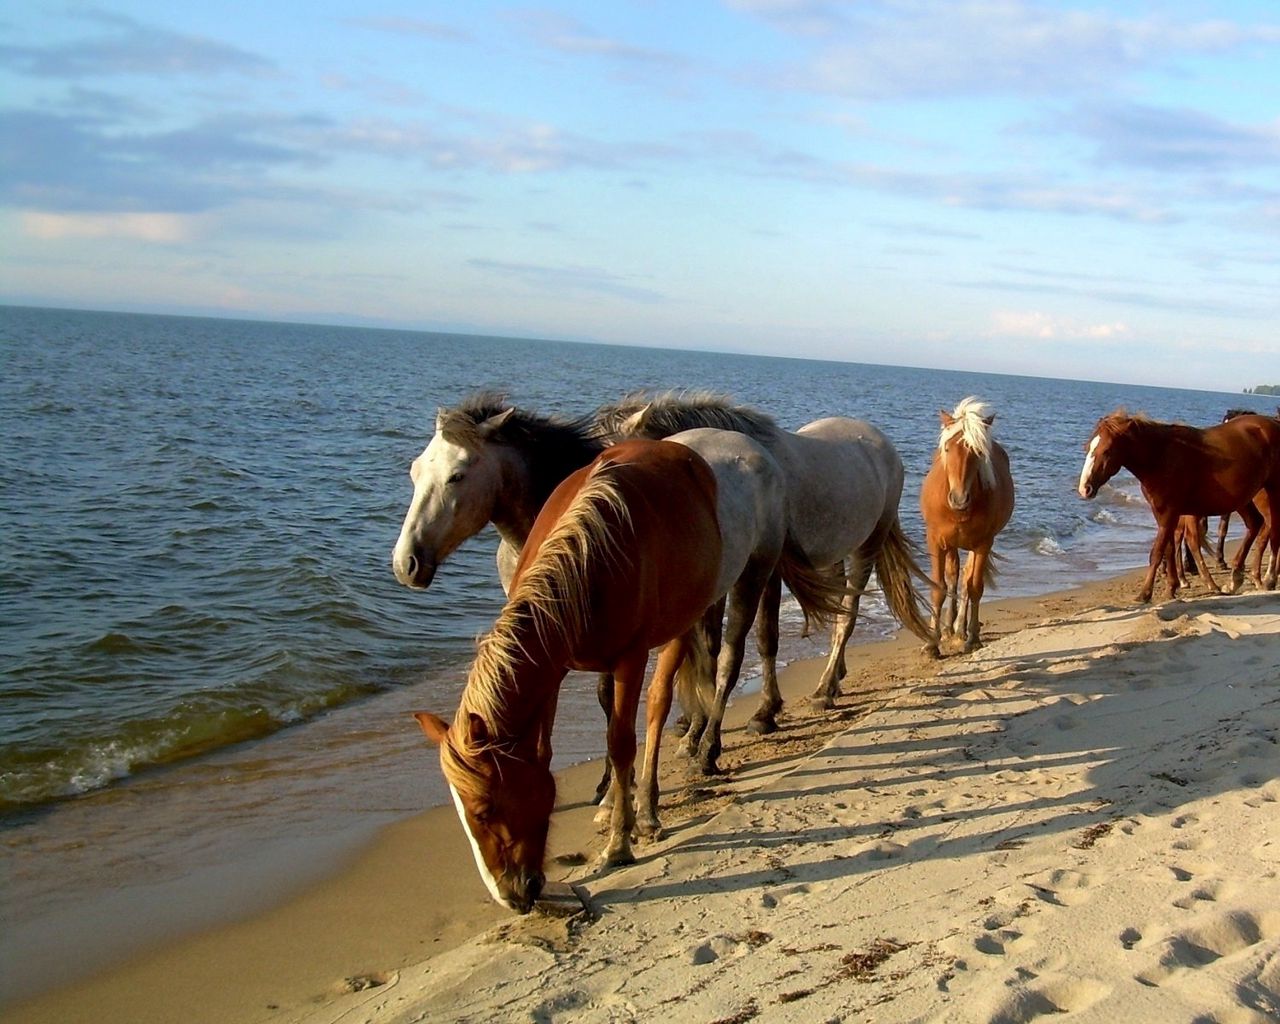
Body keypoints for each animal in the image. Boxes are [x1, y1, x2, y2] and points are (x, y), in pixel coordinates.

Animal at [414, 440, 723, 912]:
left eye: (484, 810)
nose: (511, 896)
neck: (586, 562)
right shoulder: (552, 671)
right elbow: (547, 752)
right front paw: (613, 810)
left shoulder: (630, 659)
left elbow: (621, 743)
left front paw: (619, 844)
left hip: (680, 627)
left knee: (656, 706)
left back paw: (647, 810)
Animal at [598, 390, 932, 725]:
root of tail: (885, 447)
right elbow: (712, 645)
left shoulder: (766, 571)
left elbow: (765, 638)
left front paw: (764, 712)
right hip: (832, 556)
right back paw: (835, 680)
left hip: (868, 546)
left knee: (847, 616)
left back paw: (824, 691)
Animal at [919, 398, 1014, 657]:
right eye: (948, 449)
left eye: (977, 452)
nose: (959, 499)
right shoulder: (936, 541)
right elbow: (939, 587)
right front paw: (932, 643)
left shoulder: (983, 544)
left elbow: (974, 587)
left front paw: (972, 638)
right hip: (951, 544)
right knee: (953, 576)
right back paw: (948, 628)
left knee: (964, 580)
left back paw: (960, 629)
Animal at [1077, 410, 1280, 602]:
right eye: (1088, 448)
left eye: (1107, 450)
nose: (1085, 488)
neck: (1161, 456)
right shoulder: (1163, 513)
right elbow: (1169, 548)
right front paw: (1171, 588)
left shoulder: (1169, 512)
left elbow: (1157, 552)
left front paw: (1145, 593)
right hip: (1242, 499)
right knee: (1255, 524)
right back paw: (1235, 579)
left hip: (1270, 492)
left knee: (1272, 532)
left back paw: (1268, 579)